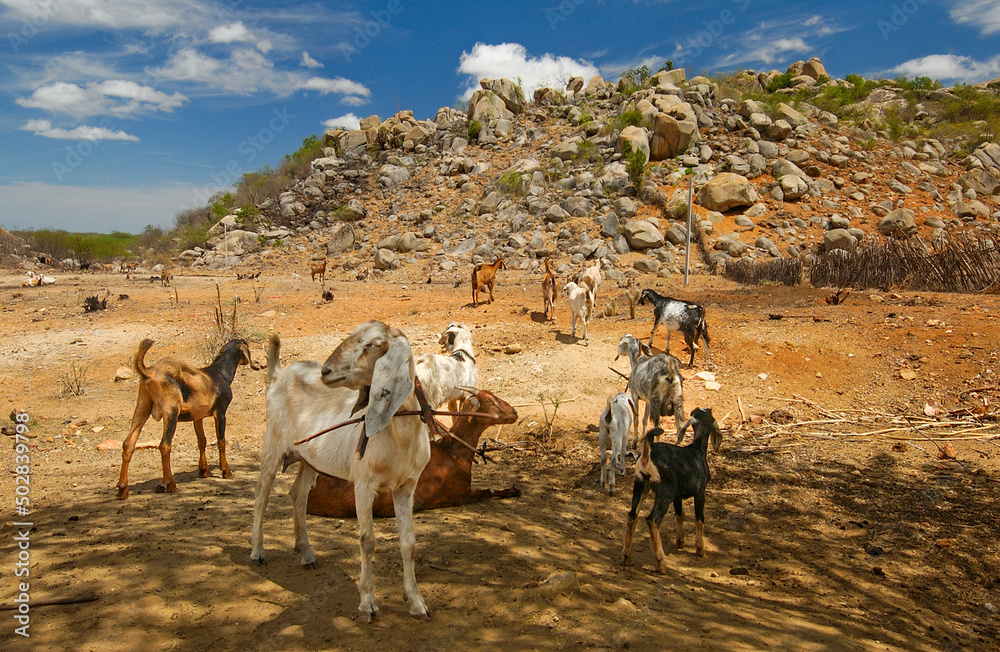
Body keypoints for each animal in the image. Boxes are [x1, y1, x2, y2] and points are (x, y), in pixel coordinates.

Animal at [116, 338, 260, 499]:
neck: (220, 374)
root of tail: (149, 371)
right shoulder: (221, 413)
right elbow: (221, 441)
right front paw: (226, 471)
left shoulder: (198, 417)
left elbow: (202, 441)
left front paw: (203, 471)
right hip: (171, 412)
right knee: (164, 445)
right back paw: (170, 483)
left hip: (142, 408)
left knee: (128, 444)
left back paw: (123, 489)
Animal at [250, 322, 432, 622]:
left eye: (372, 344)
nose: (326, 371)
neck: (399, 436)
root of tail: (278, 374)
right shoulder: (363, 485)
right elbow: (367, 541)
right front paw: (367, 604)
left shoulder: (406, 487)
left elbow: (409, 543)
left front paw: (416, 602)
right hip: (272, 444)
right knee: (262, 493)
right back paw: (257, 550)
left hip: (308, 458)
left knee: (297, 494)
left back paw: (306, 553)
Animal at [306, 389, 519, 517]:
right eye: (489, 400)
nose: (514, 413)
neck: (453, 451)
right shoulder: (462, 495)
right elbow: (489, 491)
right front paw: (514, 490)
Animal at [622, 408, 722, 573]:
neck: (697, 449)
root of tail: (648, 454)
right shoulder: (700, 492)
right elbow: (699, 519)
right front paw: (700, 549)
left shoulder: (677, 496)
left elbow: (680, 515)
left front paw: (680, 542)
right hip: (664, 491)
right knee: (652, 519)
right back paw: (661, 563)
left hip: (641, 483)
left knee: (632, 515)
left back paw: (626, 557)